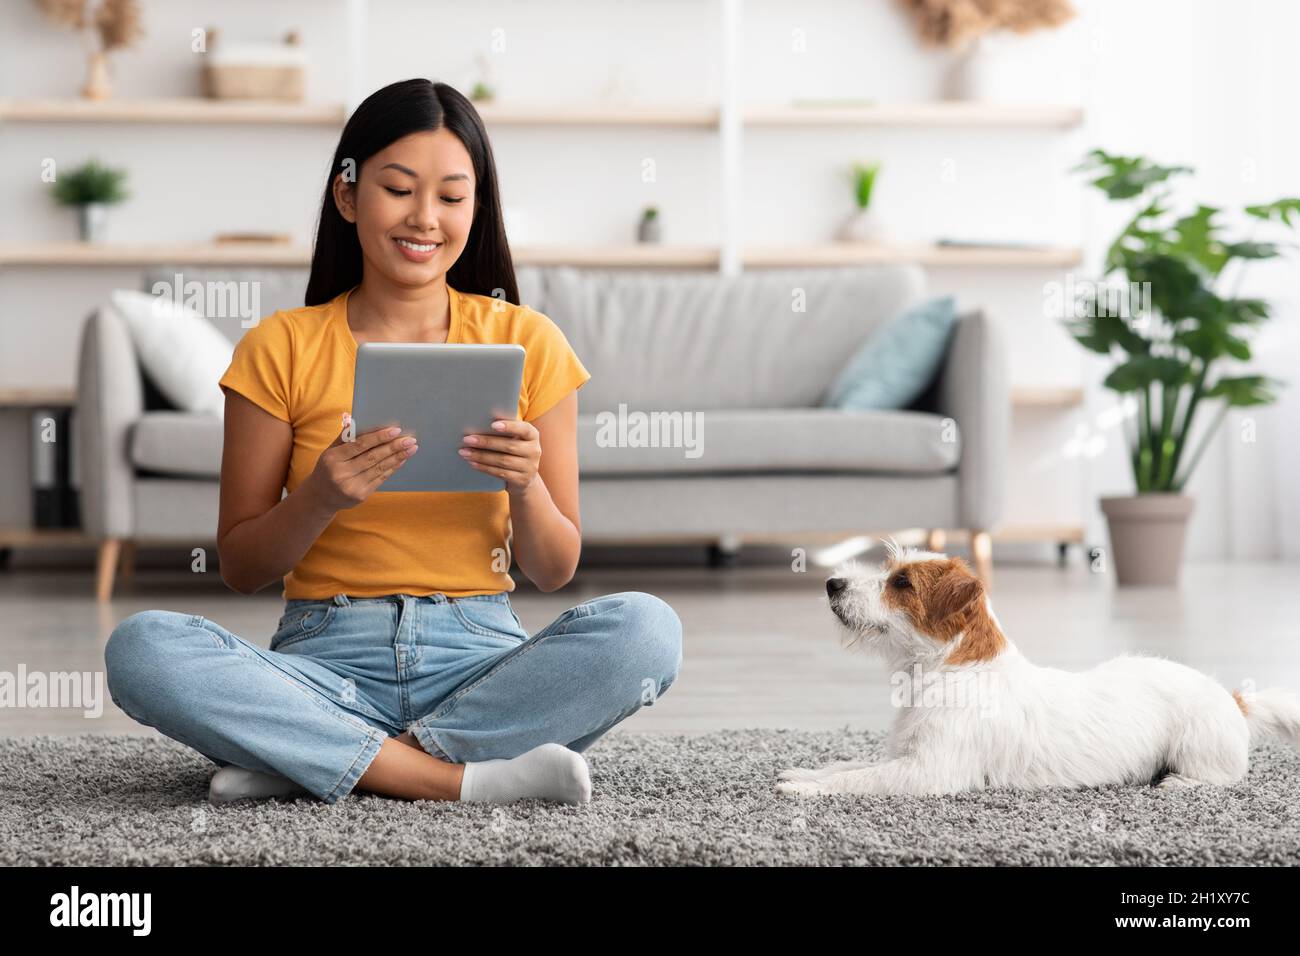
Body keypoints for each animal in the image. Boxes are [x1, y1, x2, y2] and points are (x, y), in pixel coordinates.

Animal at [774, 541, 1294, 796]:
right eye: (888, 571)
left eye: (901, 583)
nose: (832, 583)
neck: (948, 671)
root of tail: (1232, 698)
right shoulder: (904, 756)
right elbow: (851, 763)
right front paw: (804, 772)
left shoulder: (927, 772)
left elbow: (860, 779)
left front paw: (806, 791)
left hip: (1198, 750)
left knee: (1218, 778)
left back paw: (1177, 783)